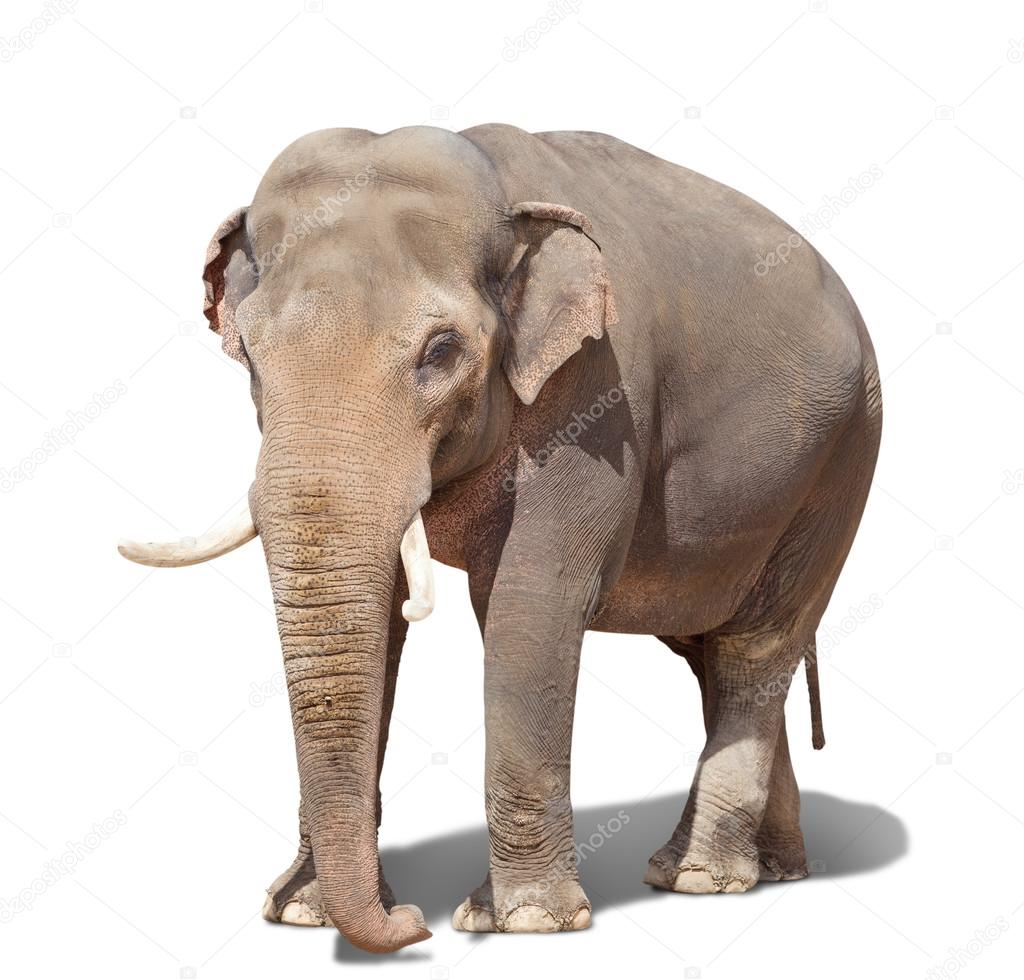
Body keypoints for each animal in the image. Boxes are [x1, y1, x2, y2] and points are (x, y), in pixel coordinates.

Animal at [119, 124, 881, 954]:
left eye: (441, 351)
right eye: (250, 354)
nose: (408, 922)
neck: (498, 181)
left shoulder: (596, 393)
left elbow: (528, 605)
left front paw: (523, 921)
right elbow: (382, 624)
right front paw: (300, 913)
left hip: (840, 461)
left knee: (757, 646)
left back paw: (700, 878)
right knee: (712, 651)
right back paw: (770, 869)